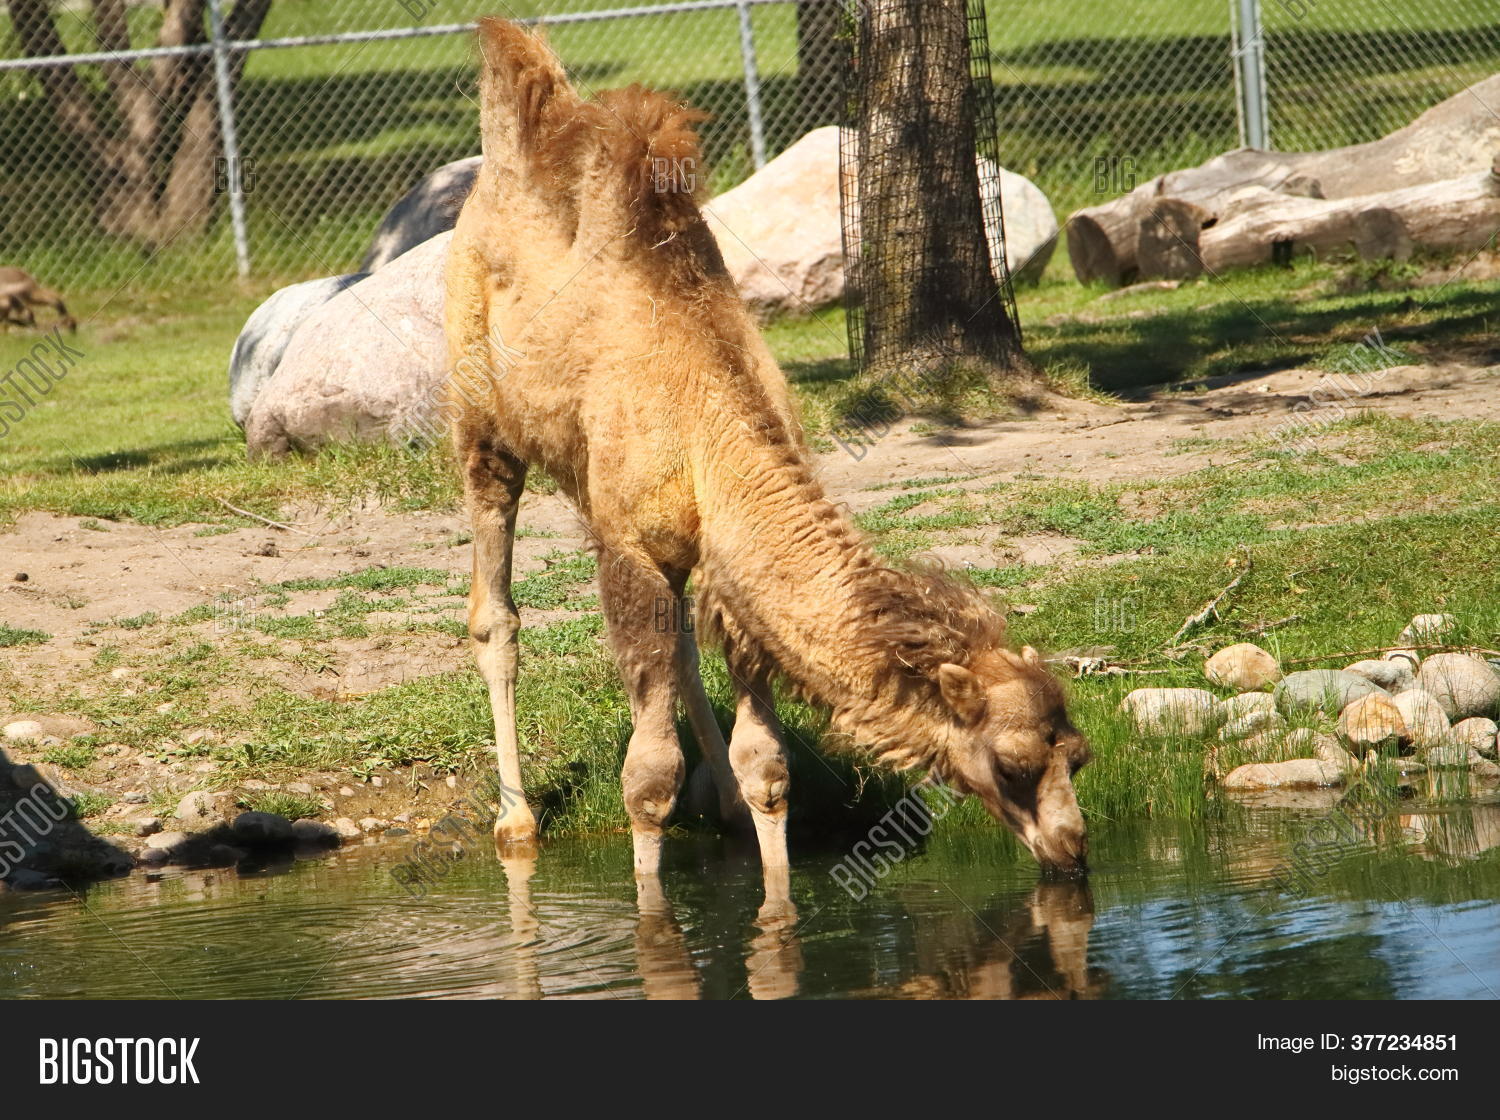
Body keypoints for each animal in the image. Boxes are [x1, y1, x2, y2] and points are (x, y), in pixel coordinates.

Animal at [444, 18, 1091, 887]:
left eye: (1078, 755)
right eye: (1015, 763)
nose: (1073, 849)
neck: (702, 408)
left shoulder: (725, 562)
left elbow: (768, 767)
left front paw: (770, 888)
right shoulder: (628, 547)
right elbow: (647, 779)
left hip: (593, 481)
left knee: (683, 647)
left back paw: (713, 796)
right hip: (481, 419)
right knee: (496, 610)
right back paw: (515, 822)